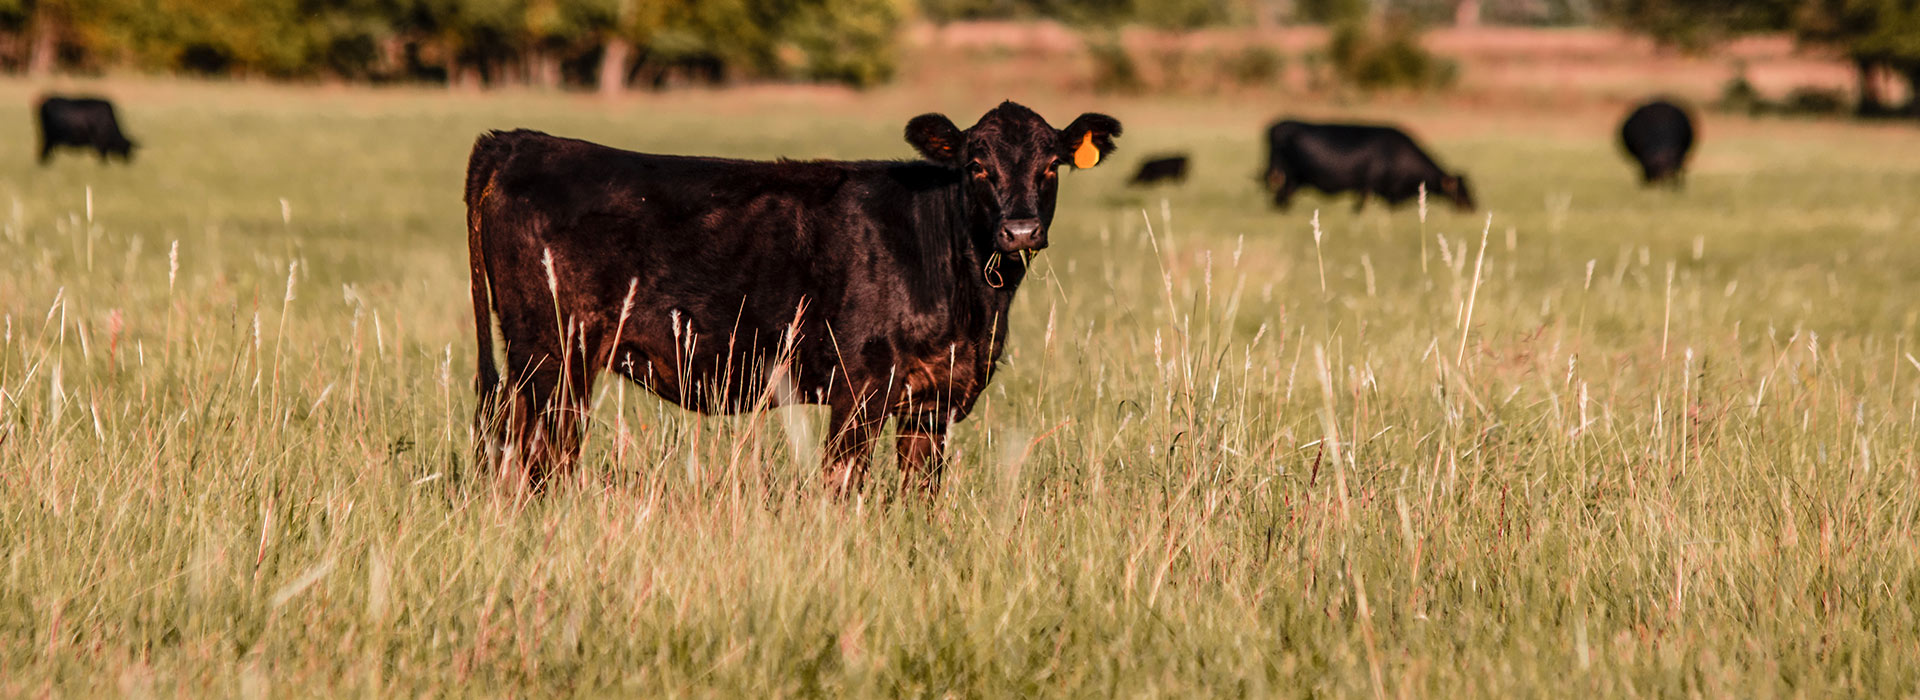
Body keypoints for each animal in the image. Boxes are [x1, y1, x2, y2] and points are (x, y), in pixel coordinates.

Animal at [464, 101, 1121, 496]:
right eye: (977, 165)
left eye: (1052, 165)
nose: (1020, 231)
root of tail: (518, 140)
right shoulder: (861, 387)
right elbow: (843, 484)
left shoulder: (936, 397)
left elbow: (920, 492)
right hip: (552, 354)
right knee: (538, 456)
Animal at [1263, 120, 1473, 212]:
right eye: (1461, 191)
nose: (1473, 207)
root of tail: (1278, 126)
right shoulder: (1368, 187)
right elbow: (1359, 208)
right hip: (1288, 178)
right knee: (1280, 201)